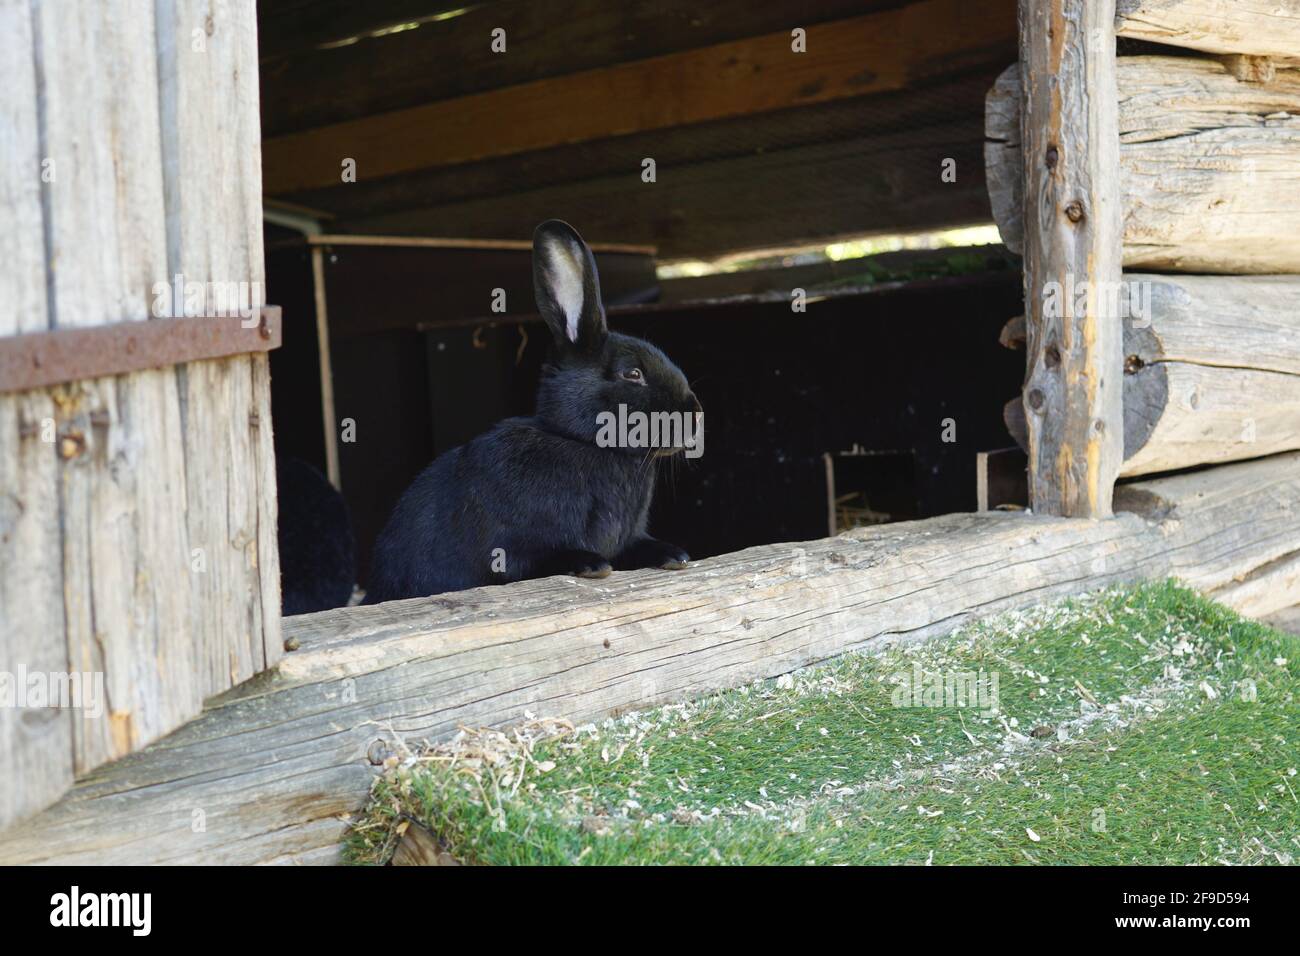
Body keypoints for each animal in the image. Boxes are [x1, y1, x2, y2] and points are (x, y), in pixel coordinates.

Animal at [364, 220, 701, 604]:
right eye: (632, 374)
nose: (695, 416)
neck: (583, 443)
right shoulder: (510, 548)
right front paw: (589, 563)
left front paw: (673, 555)